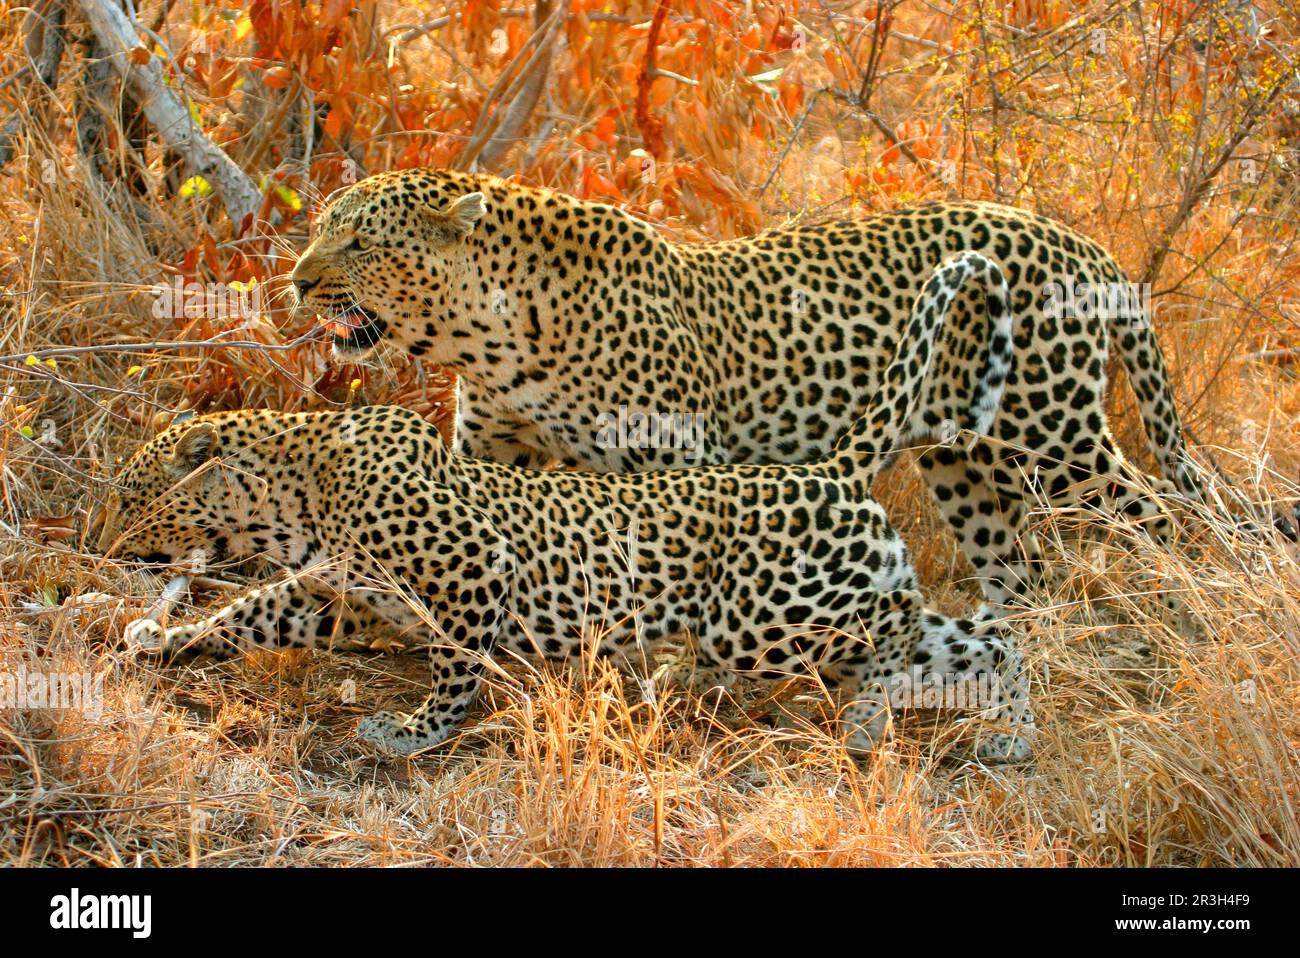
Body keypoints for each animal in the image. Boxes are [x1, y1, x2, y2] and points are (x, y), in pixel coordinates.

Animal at [102, 252, 1034, 761]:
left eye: (133, 500)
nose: (106, 547)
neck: (300, 496)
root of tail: (828, 469)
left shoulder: (471, 570)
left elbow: (456, 665)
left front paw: (416, 732)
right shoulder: (337, 595)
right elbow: (246, 615)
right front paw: (163, 639)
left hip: (762, 619)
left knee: (906, 633)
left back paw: (872, 721)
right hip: (819, 604)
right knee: (983, 637)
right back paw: (1005, 735)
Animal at [290, 166, 1233, 607]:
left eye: (359, 243)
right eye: (321, 229)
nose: (296, 281)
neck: (490, 335)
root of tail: (1080, 244)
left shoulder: (670, 461)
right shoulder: (491, 447)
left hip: (1056, 438)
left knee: (1165, 514)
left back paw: (1180, 620)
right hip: (967, 463)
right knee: (1015, 568)